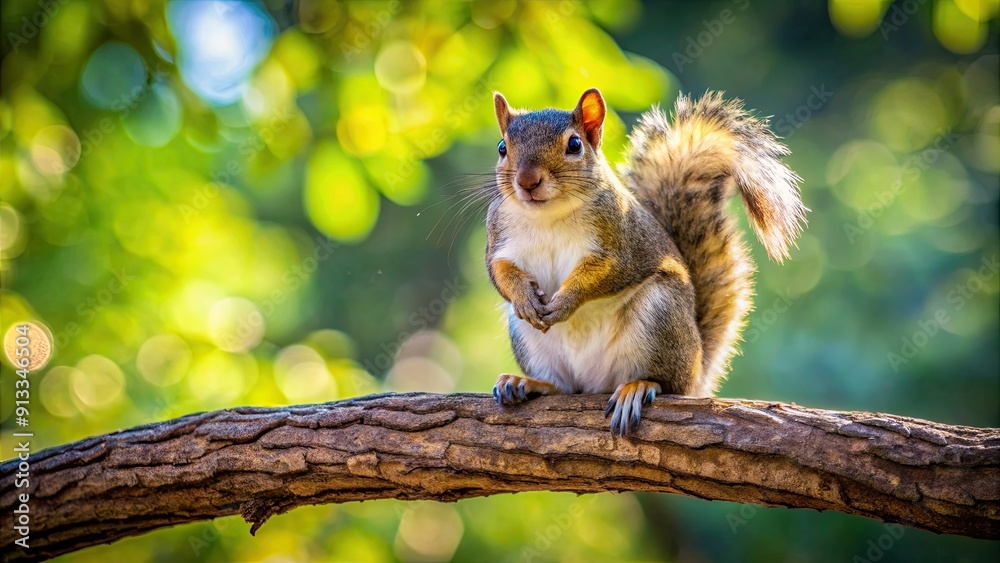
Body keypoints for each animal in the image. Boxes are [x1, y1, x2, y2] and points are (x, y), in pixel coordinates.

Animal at [485, 88, 807, 436]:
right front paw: (524, 297)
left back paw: (638, 387)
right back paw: (529, 383)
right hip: (529, 341)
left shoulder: (622, 243)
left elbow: (606, 273)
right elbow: (499, 272)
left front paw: (564, 302)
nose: (527, 181)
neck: (549, 216)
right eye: (502, 147)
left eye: (574, 145)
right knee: (564, 387)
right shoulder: (498, 238)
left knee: (668, 384)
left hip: (661, 313)